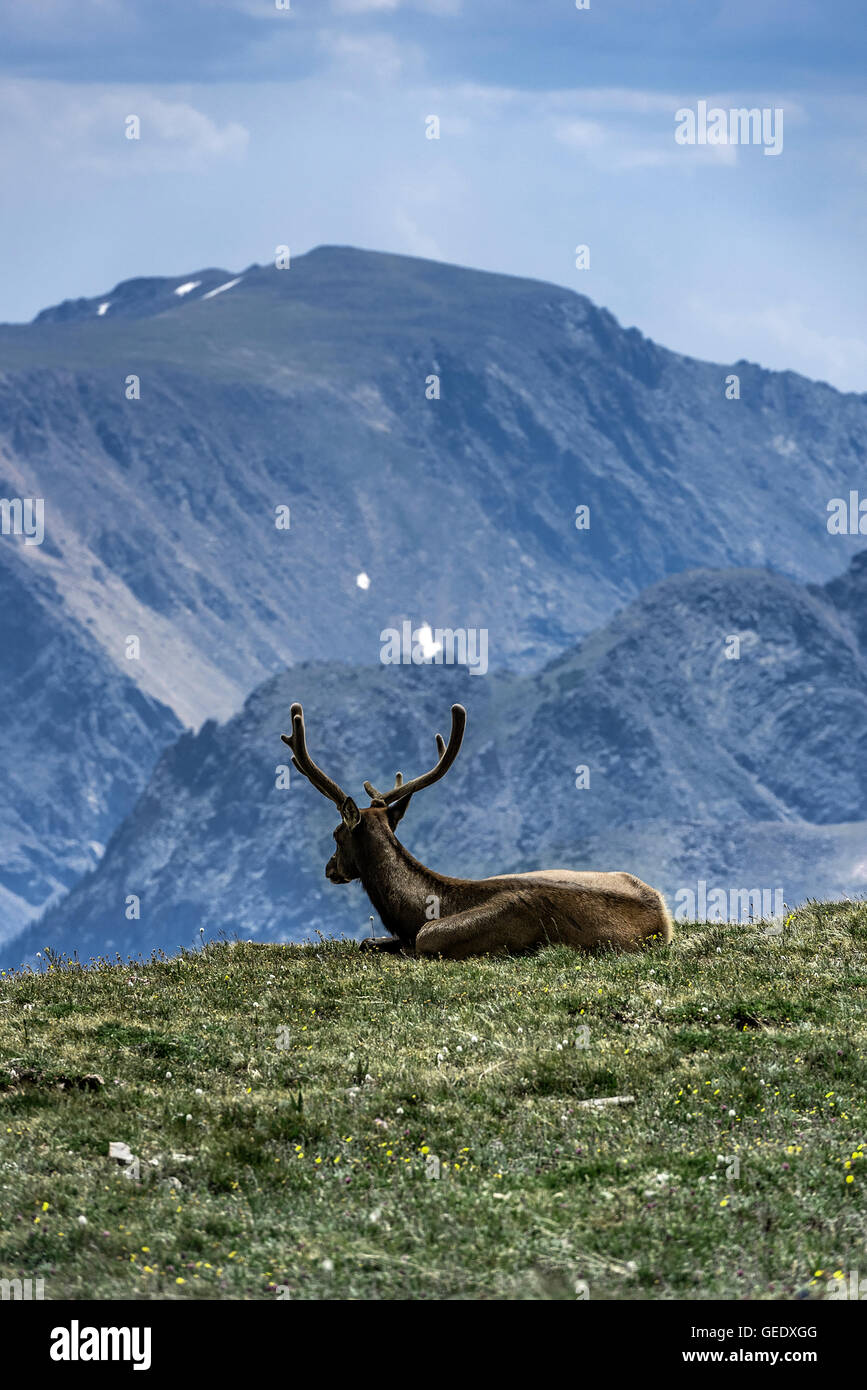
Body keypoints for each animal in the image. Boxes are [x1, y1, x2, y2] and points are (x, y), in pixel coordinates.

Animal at [281, 702, 673, 960]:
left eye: (336, 834)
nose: (329, 868)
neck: (414, 913)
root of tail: (664, 917)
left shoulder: (431, 934)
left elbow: (415, 942)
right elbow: (366, 941)